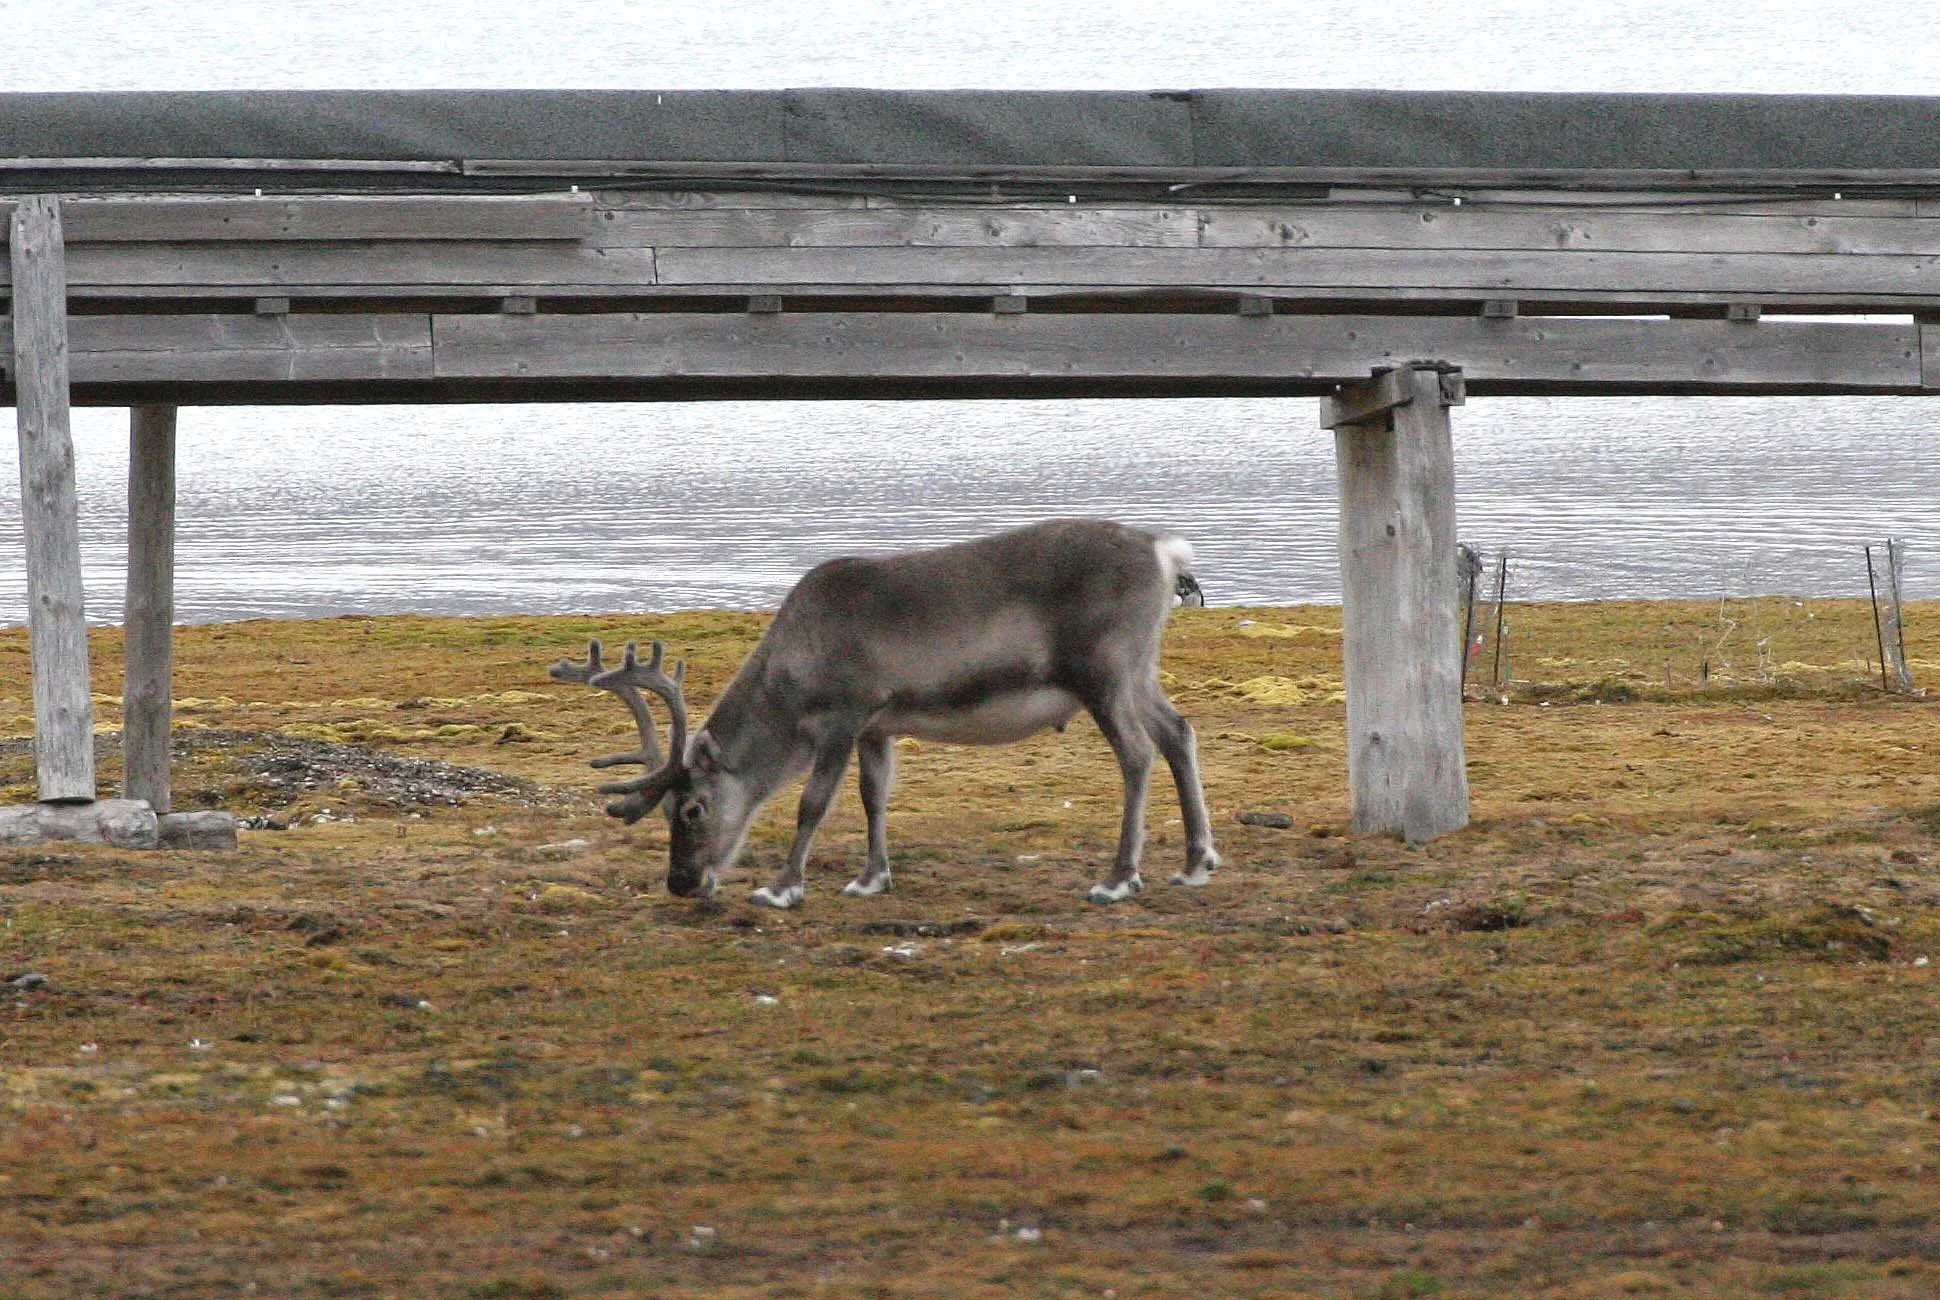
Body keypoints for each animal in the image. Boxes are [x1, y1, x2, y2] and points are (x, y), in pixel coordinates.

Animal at [548, 518, 1219, 908]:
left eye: (691, 807)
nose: (681, 883)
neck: (792, 680)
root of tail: (1167, 555)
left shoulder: (844, 714)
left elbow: (813, 803)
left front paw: (783, 886)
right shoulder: (880, 725)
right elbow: (876, 797)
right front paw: (872, 877)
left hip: (1102, 671)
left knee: (1137, 753)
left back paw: (1119, 877)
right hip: (1139, 670)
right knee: (1179, 731)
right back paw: (1195, 863)